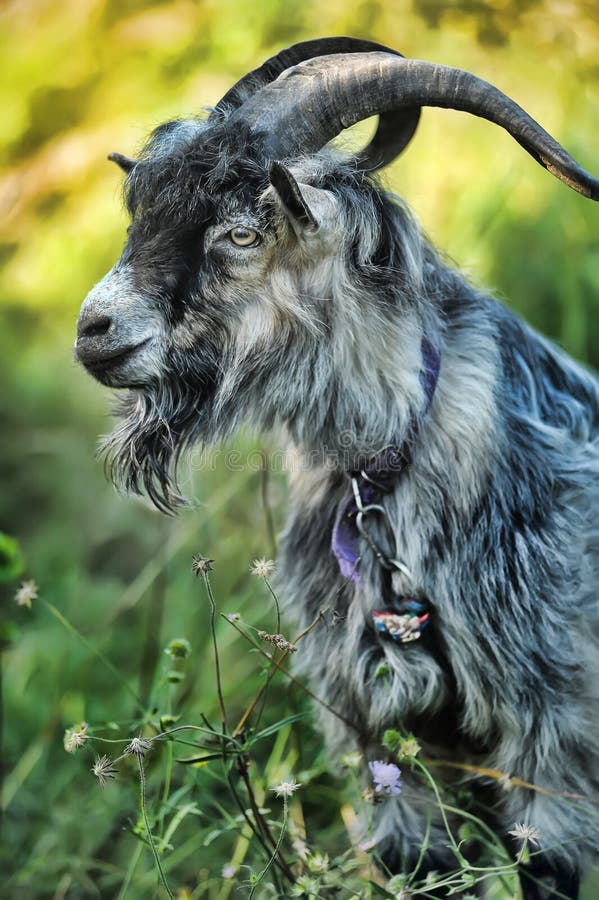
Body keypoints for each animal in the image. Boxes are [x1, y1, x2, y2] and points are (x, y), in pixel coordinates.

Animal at [75, 39, 599, 898]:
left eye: (242, 233)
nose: (94, 332)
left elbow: (544, 864)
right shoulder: (382, 735)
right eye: (140, 210)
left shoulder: (552, 727)